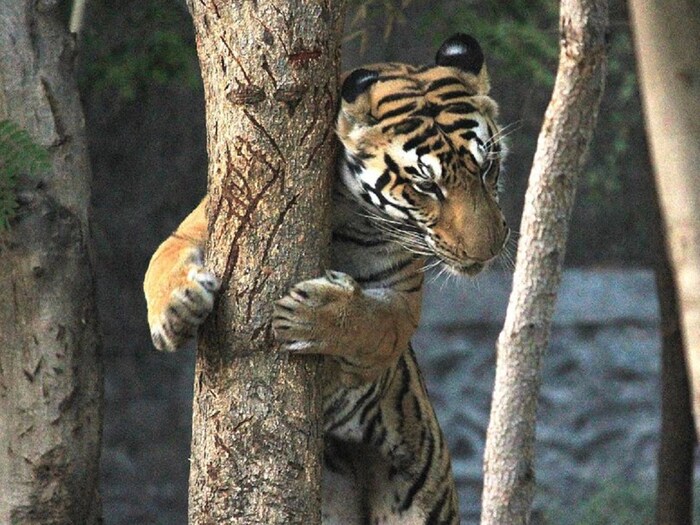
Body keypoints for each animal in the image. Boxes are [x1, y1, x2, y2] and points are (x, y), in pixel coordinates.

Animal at [143, 33, 509, 524]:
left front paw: (308, 315)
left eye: (487, 168)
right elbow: (160, 260)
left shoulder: (403, 303)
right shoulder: (202, 223)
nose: (488, 249)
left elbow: (372, 324)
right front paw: (176, 311)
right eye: (425, 186)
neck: (354, 217)